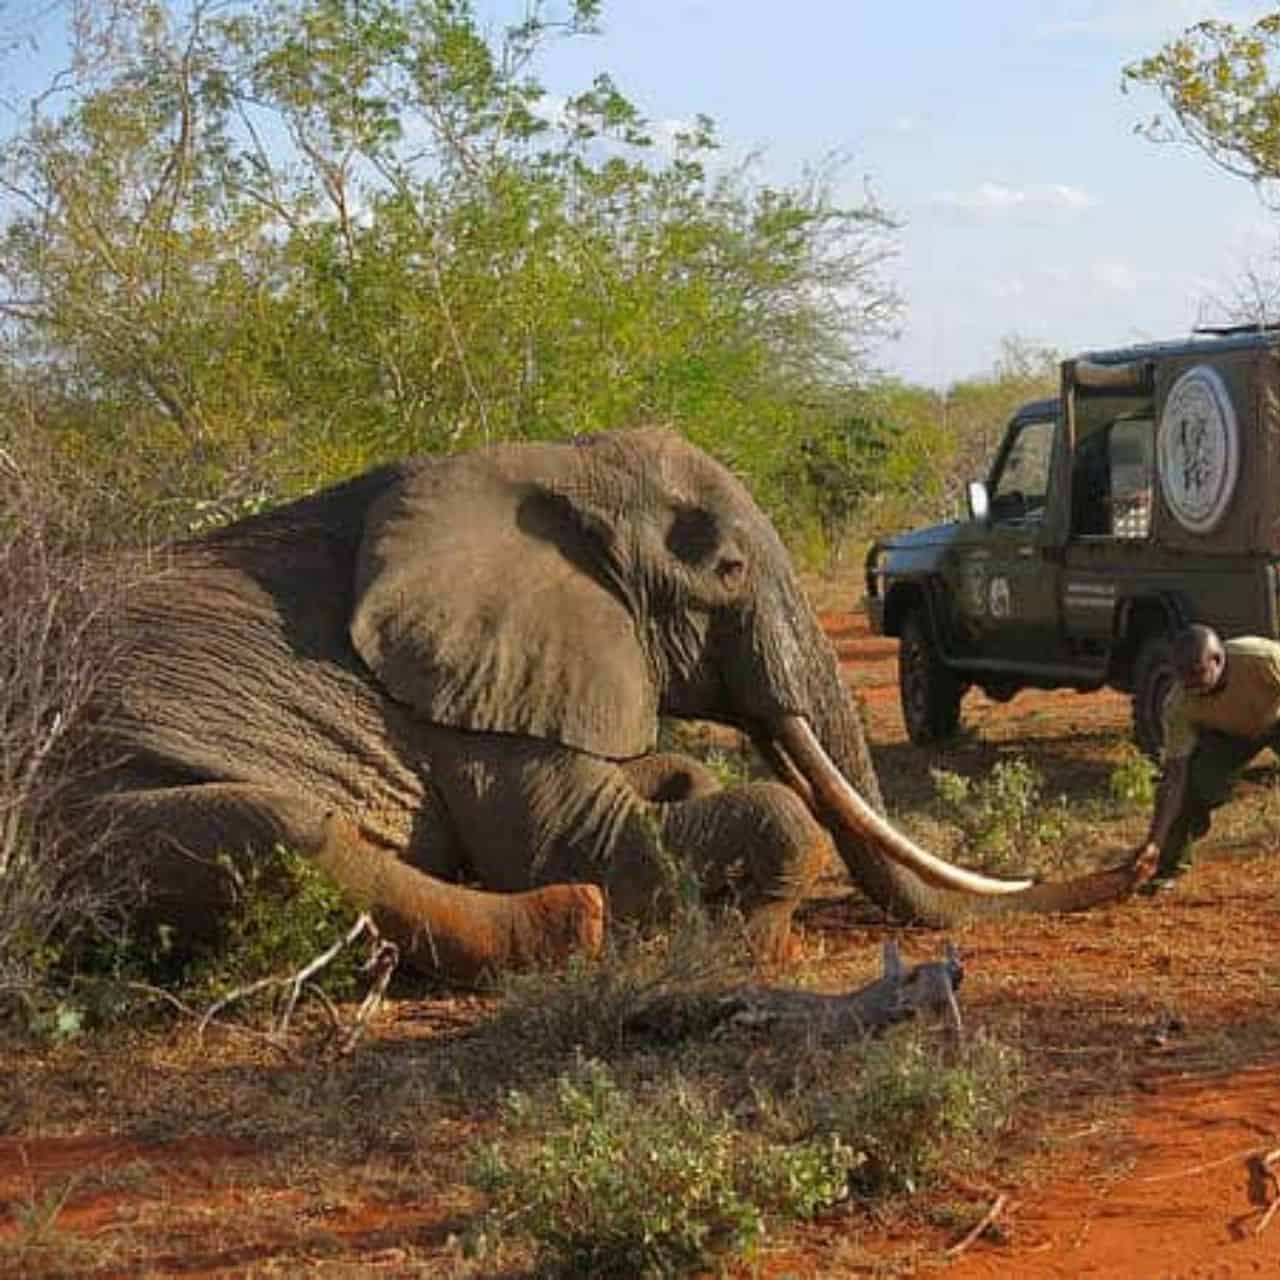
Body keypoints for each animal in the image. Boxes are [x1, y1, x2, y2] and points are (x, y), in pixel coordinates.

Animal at [74, 427, 1147, 983]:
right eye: (726, 571)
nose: (1135, 864)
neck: (548, 469)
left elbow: (663, 781)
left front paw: (686, 795)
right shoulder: (459, 699)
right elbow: (588, 835)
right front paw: (751, 943)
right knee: (285, 827)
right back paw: (572, 926)